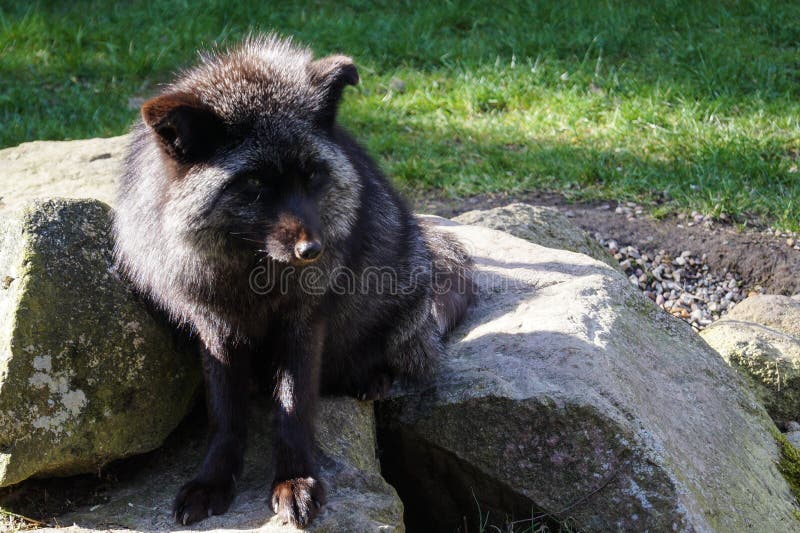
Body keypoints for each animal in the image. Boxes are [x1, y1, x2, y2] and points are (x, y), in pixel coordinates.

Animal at [112, 34, 473, 527]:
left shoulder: (303, 321)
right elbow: (225, 415)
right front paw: (212, 482)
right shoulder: (214, 327)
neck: (253, 275)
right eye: (254, 183)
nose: (312, 250)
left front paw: (296, 481)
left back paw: (370, 377)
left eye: (312, 174)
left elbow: (294, 406)